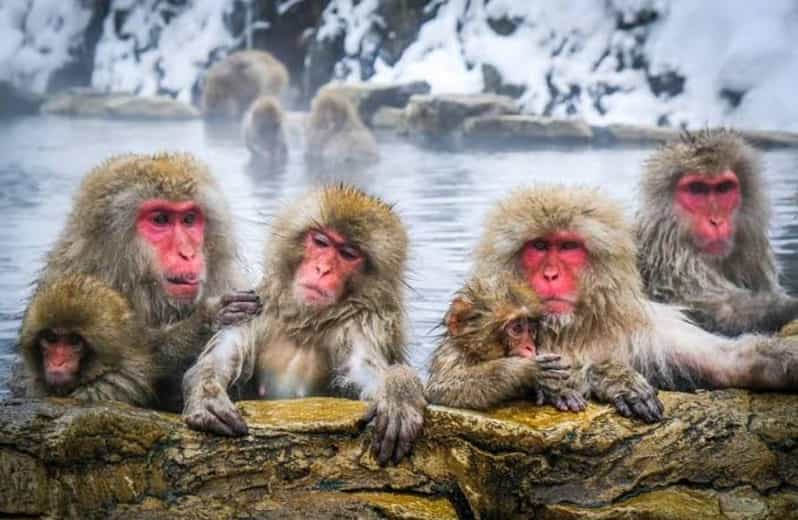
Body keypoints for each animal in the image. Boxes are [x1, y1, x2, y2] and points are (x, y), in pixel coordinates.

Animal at [183, 184, 426, 465]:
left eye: (348, 254)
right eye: (320, 242)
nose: (322, 269)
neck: (304, 323)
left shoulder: (359, 325)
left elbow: (364, 369)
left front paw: (399, 392)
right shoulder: (256, 307)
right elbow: (221, 357)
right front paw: (207, 396)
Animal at [426, 276, 587, 412]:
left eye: (531, 330)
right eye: (517, 329)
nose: (530, 347)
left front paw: (559, 391)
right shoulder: (452, 355)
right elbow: (440, 388)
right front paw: (525, 369)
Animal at [472, 185, 798, 423]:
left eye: (568, 247)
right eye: (539, 246)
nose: (550, 274)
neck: (572, 330)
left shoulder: (654, 330)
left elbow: (731, 362)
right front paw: (601, 378)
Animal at [637, 128, 798, 336]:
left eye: (723, 188)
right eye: (697, 189)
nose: (716, 221)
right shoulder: (672, 270)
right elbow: (712, 311)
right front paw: (787, 308)